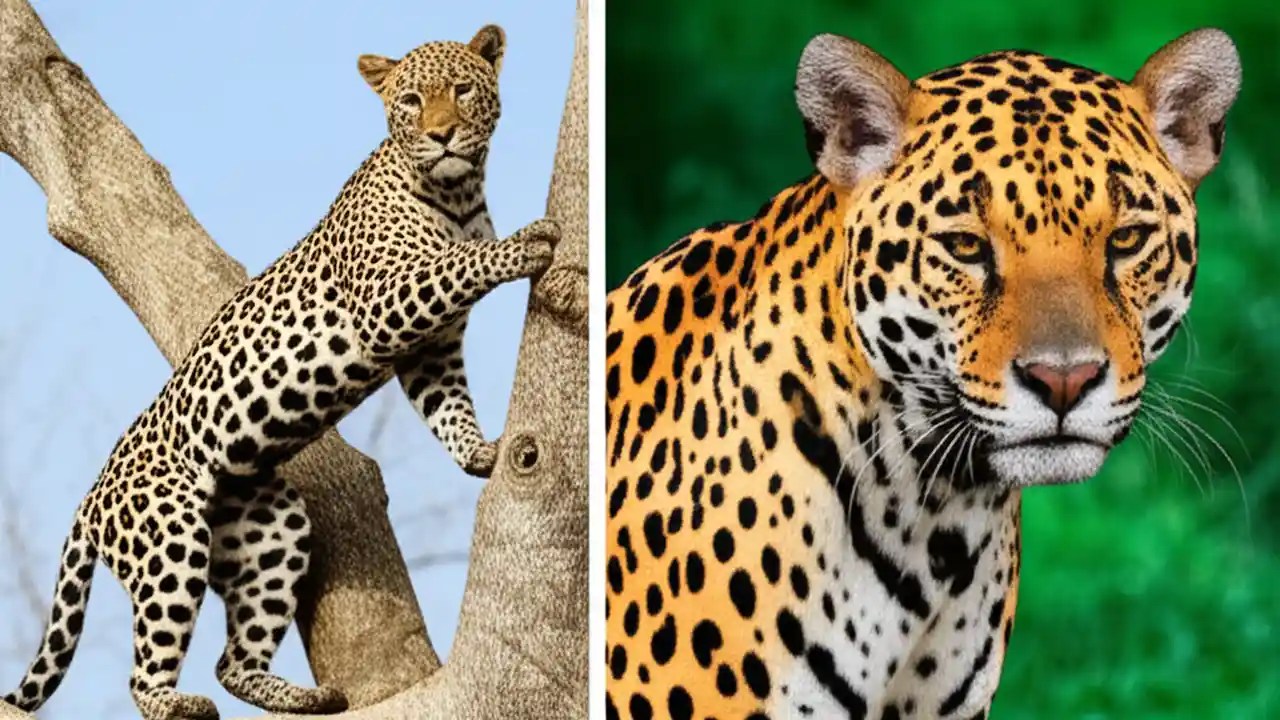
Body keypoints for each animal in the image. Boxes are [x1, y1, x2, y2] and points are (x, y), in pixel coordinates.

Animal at [2, 24, 559, 720]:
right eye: (410, 101)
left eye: (461, 90)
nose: (441, 135)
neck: (456, 194)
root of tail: (93, 494)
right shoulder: (388, 301)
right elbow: (460, 263)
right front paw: (525, 242)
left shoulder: (429, 348)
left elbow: (446, 403)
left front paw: (479, 453)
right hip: (168, 544)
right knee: (144, 676)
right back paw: (178, 703)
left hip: (269, 530)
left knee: (231, 662)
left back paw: (303, 695)